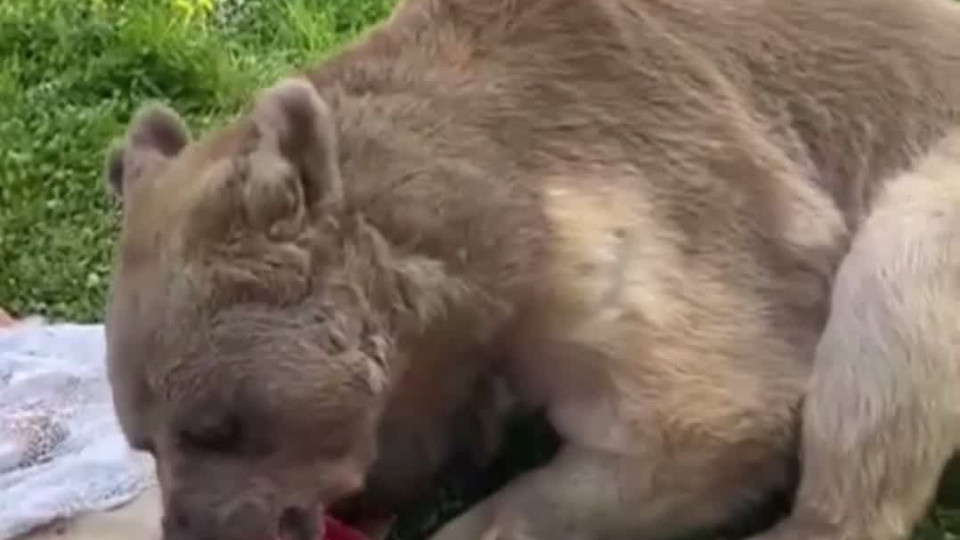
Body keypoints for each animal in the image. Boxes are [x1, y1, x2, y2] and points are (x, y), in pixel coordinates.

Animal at [100, 0, 960, 539]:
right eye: (143, 440)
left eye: (216, 424)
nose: (196, 530)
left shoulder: (637, 196)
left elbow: (704, 411)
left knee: (890, 288)